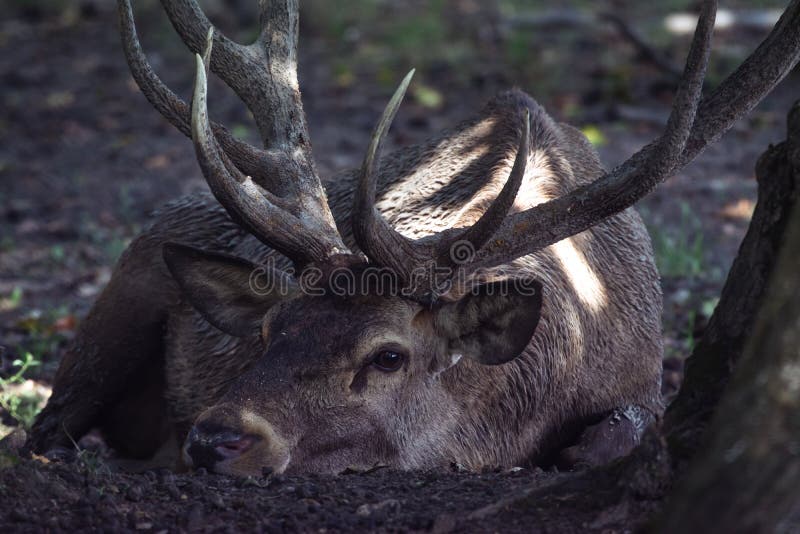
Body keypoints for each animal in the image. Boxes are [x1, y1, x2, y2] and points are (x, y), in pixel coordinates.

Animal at [26, 0, 800, 476]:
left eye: (388, 356)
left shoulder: (640, 379)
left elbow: (610, 440)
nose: (216, 437)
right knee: (42, 429)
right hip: (115, 309)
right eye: (270, 330)